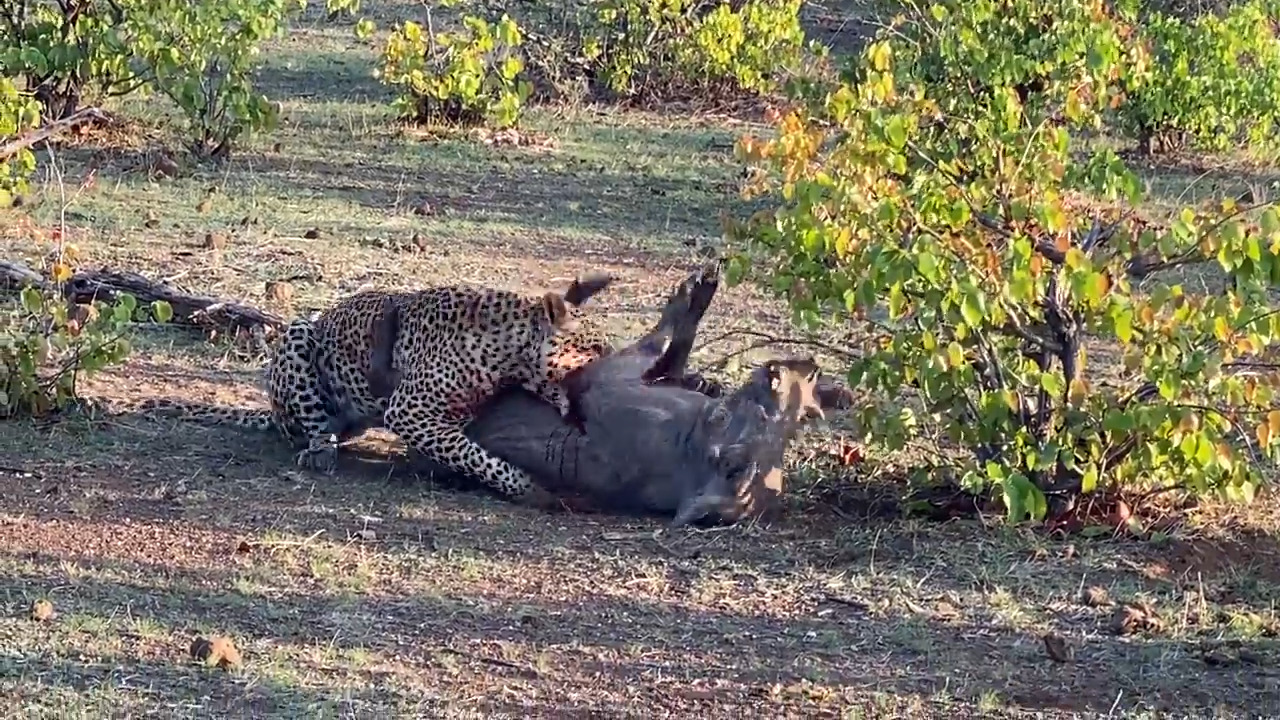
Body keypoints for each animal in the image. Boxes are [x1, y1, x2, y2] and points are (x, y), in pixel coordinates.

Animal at [138, 274, 617, 504]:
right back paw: (320, 452)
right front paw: (525, 487)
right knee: (313, 428)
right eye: (595, 346)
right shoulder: (409, 411)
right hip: (299, 333)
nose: (615, 360)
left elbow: (465, 448)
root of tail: (272, 412)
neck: (506, 352)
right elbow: (472, 453)